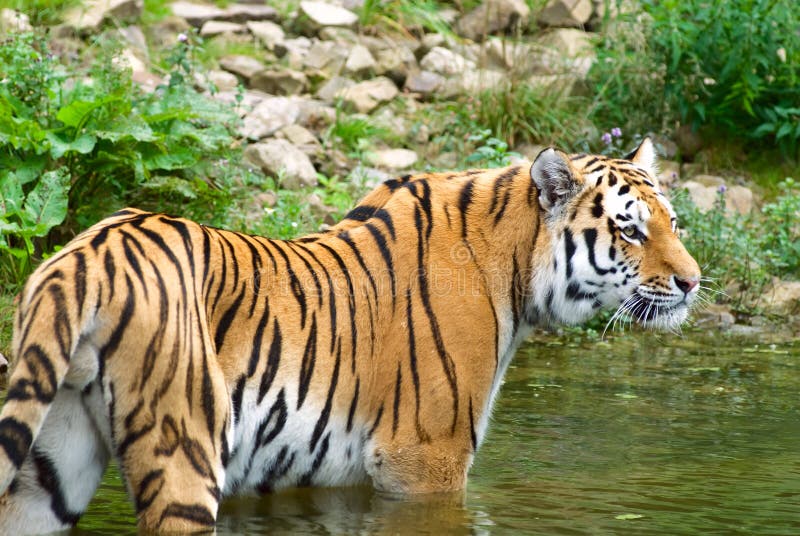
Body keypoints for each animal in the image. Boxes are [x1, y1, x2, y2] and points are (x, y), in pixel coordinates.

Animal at [0, 138, 700, 533]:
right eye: (630, 230)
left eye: (672, 223)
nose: (694, 283)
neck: (516, 266)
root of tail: (87, 252)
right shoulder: (426, 460)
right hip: (182, 451)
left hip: (53, 462)